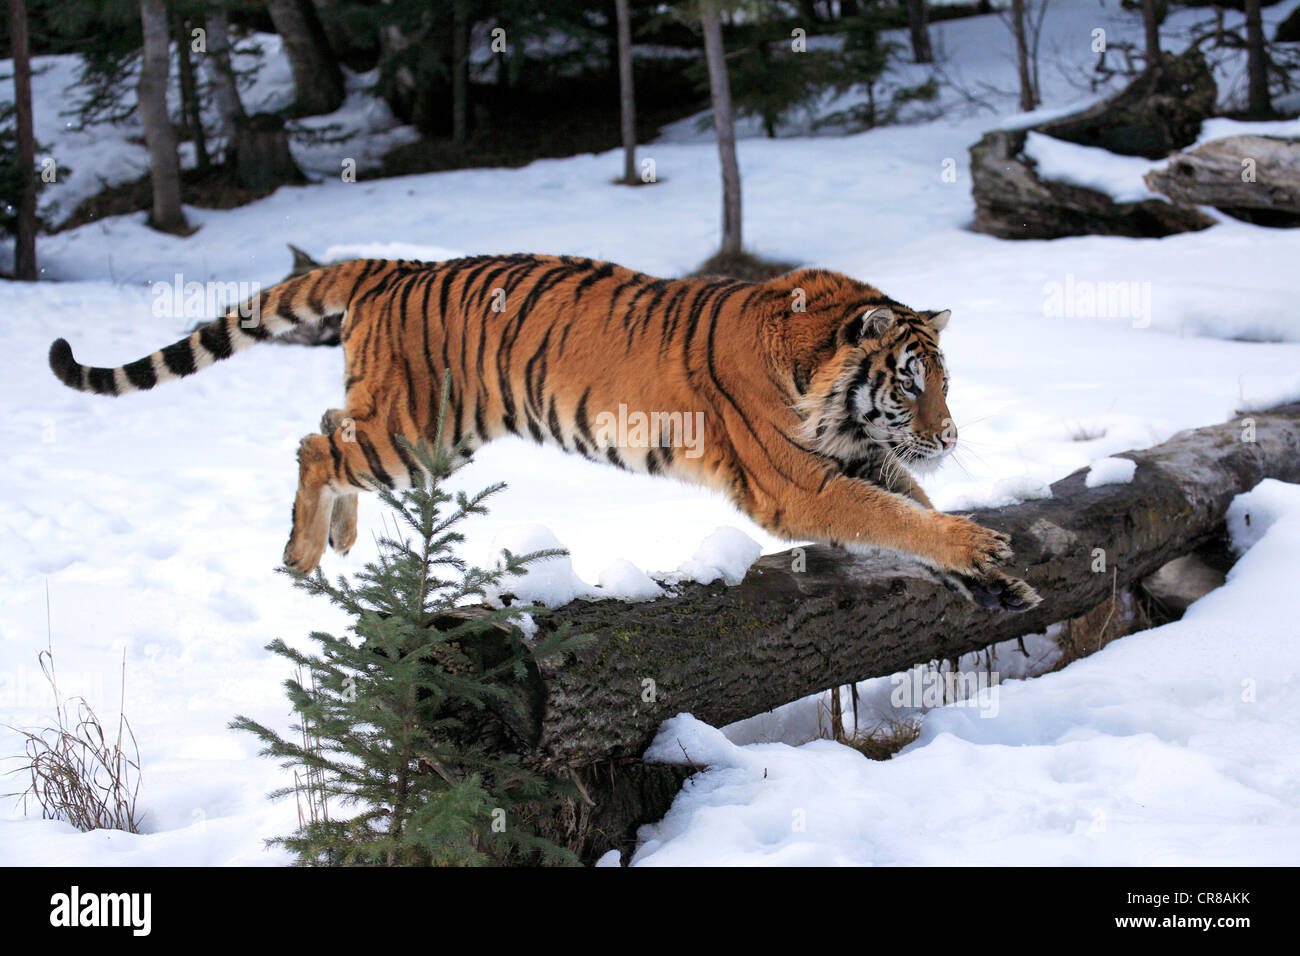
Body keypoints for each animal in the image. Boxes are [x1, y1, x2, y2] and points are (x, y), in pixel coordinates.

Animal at [48, 253, 1039, 611]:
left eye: (945, 381)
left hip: (425, 436)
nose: (950, 435)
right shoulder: (798, 483)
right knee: (315, 443)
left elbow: (914, 508)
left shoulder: (860, 458)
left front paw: (1000, 576)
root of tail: (388, 269)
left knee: (327, 425)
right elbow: (898, 519)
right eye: (911, 384)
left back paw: (339, 536)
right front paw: (978, 551)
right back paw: (301, 552)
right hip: (410, 434)